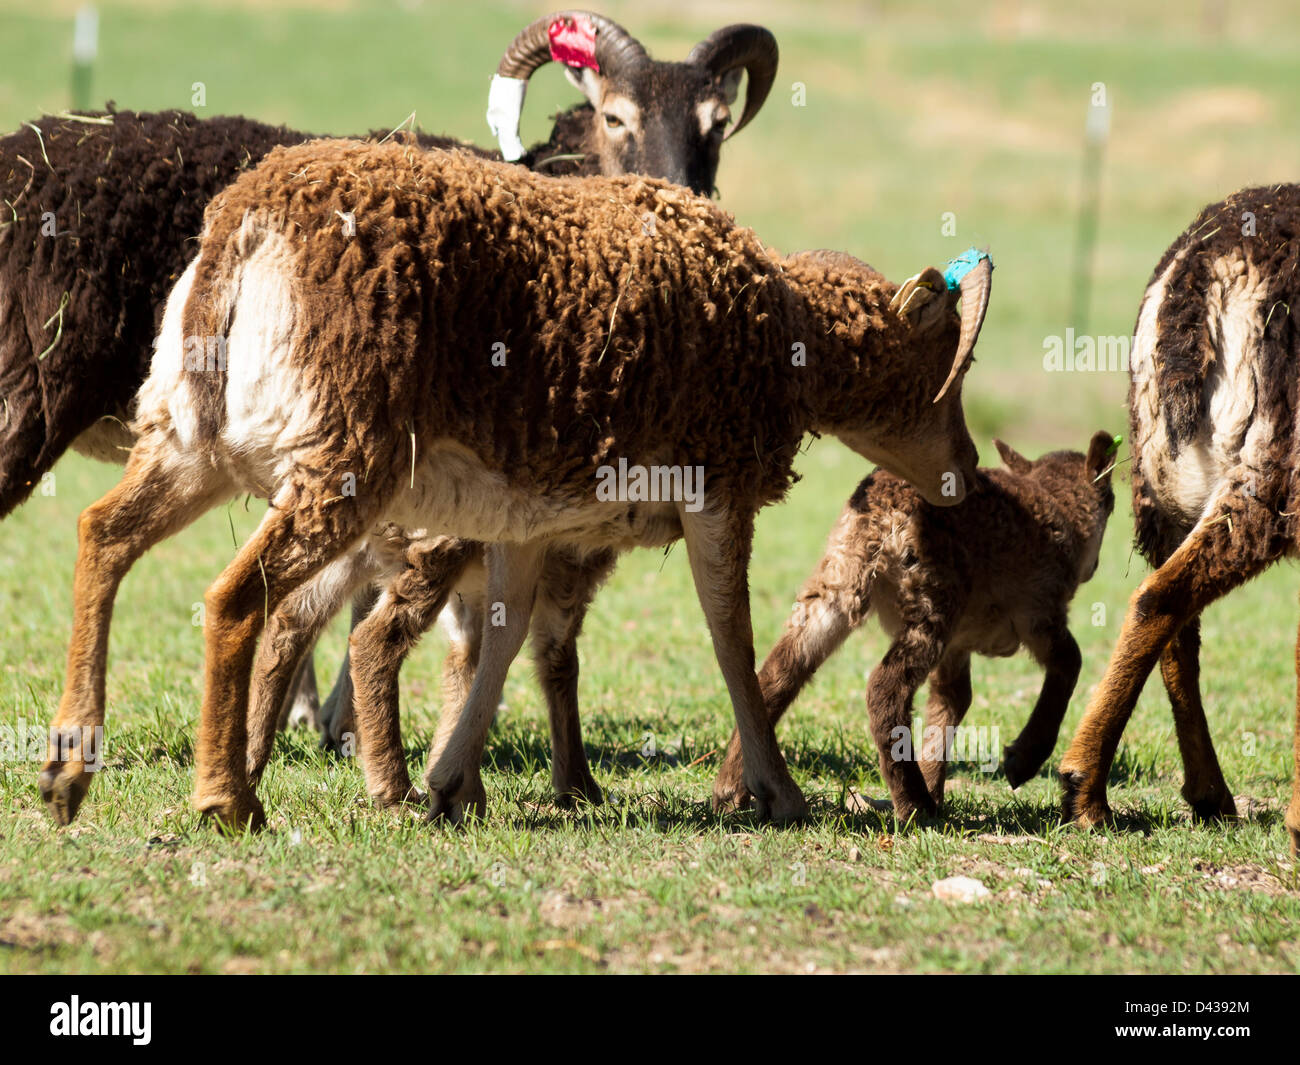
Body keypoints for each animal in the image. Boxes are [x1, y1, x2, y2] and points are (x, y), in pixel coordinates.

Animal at [0, 12, 779, 733]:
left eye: (717, 124)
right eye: (615, 116)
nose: (679, 192)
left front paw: (334, 718)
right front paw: (343, 723)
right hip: (28, 402)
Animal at [39, 140, 991, 830]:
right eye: (947, 371)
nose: (969, 472)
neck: (787, 338)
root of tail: (243, 224)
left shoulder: (528, 521)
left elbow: (499, 640)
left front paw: (449, 783)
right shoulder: (715, 493)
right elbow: (732, 635)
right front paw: (778, 791)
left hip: (191, 438)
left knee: (101, 536)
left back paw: (67, 768)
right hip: (339, 458)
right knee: (235, 597)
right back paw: (226, 800)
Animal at [706, 432, 1116, 821]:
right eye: (1112, 505)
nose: (1096, 567)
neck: (1061, 509)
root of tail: (881, 510)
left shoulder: (958, 644)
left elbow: (952, 700)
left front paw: (936, 782)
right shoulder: (1039, 610)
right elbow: (1070, 661)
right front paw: (1022, 760)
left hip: (836, 584)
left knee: (778, 673)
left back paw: (732, 790)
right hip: (932, 595)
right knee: (885, 687)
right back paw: (913, 805)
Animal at [1057, 184, 1300, 856]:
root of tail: (1205, 265)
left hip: (1160, 476)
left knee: (1169, 618)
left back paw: (1203, 794)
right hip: (1270, 467)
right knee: (1165, 598)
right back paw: (1086, 789)